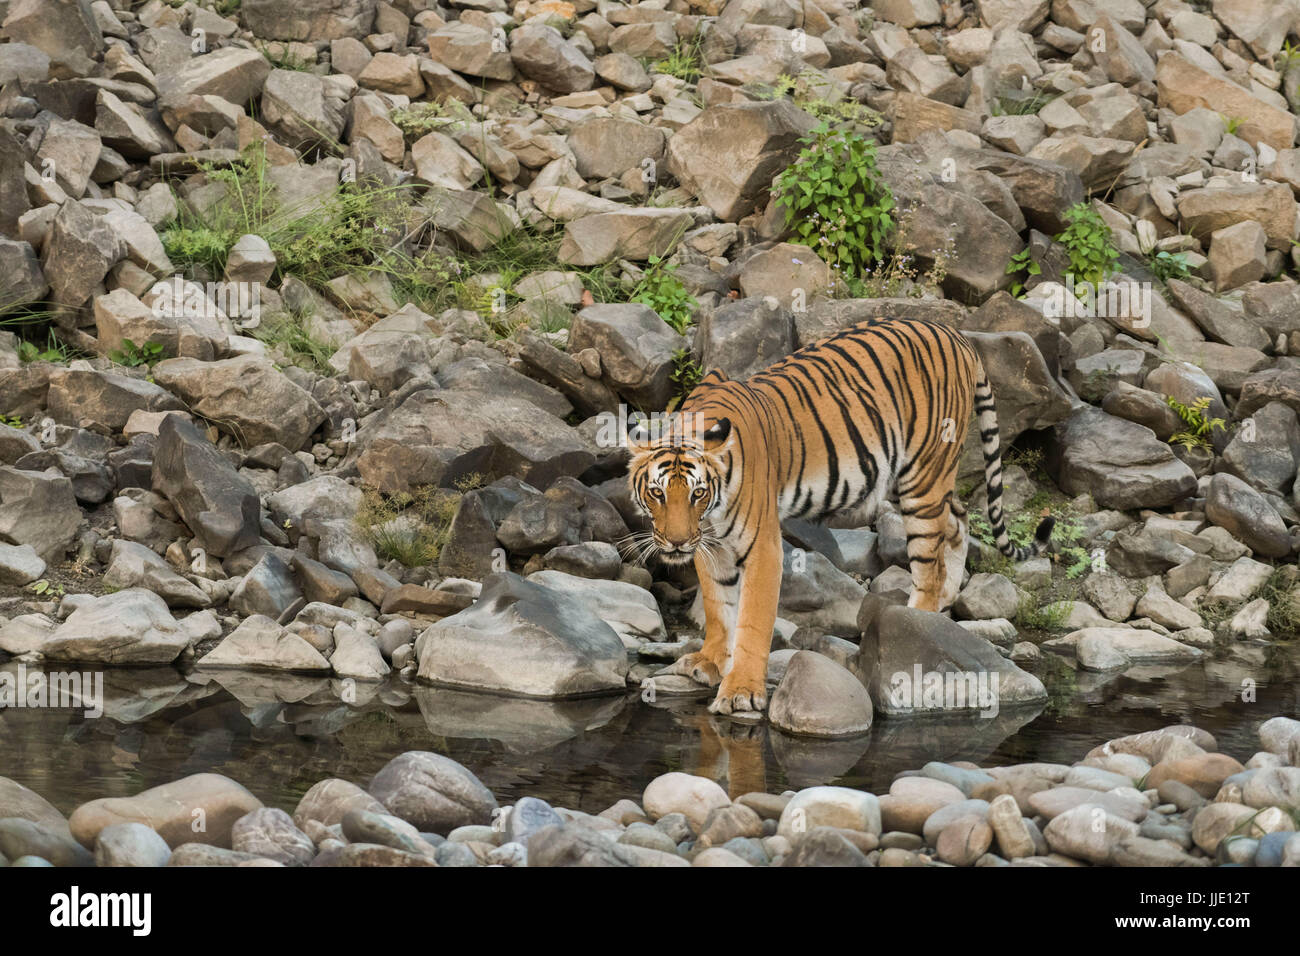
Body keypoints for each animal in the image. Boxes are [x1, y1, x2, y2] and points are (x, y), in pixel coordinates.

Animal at [625, 316, 1054, 715]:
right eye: (657, 493)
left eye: (697, 493)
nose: (677, 542)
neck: (710, 517)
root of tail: (956, 335)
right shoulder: (710, 548)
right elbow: (718, 608)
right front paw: (710, 662)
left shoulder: (761, 548)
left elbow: (752, 620)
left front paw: (741, 690)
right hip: (900, 477)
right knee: (958, 519)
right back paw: (945, 608)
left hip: (924, 476)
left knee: (929, 566)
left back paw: (919, 623)